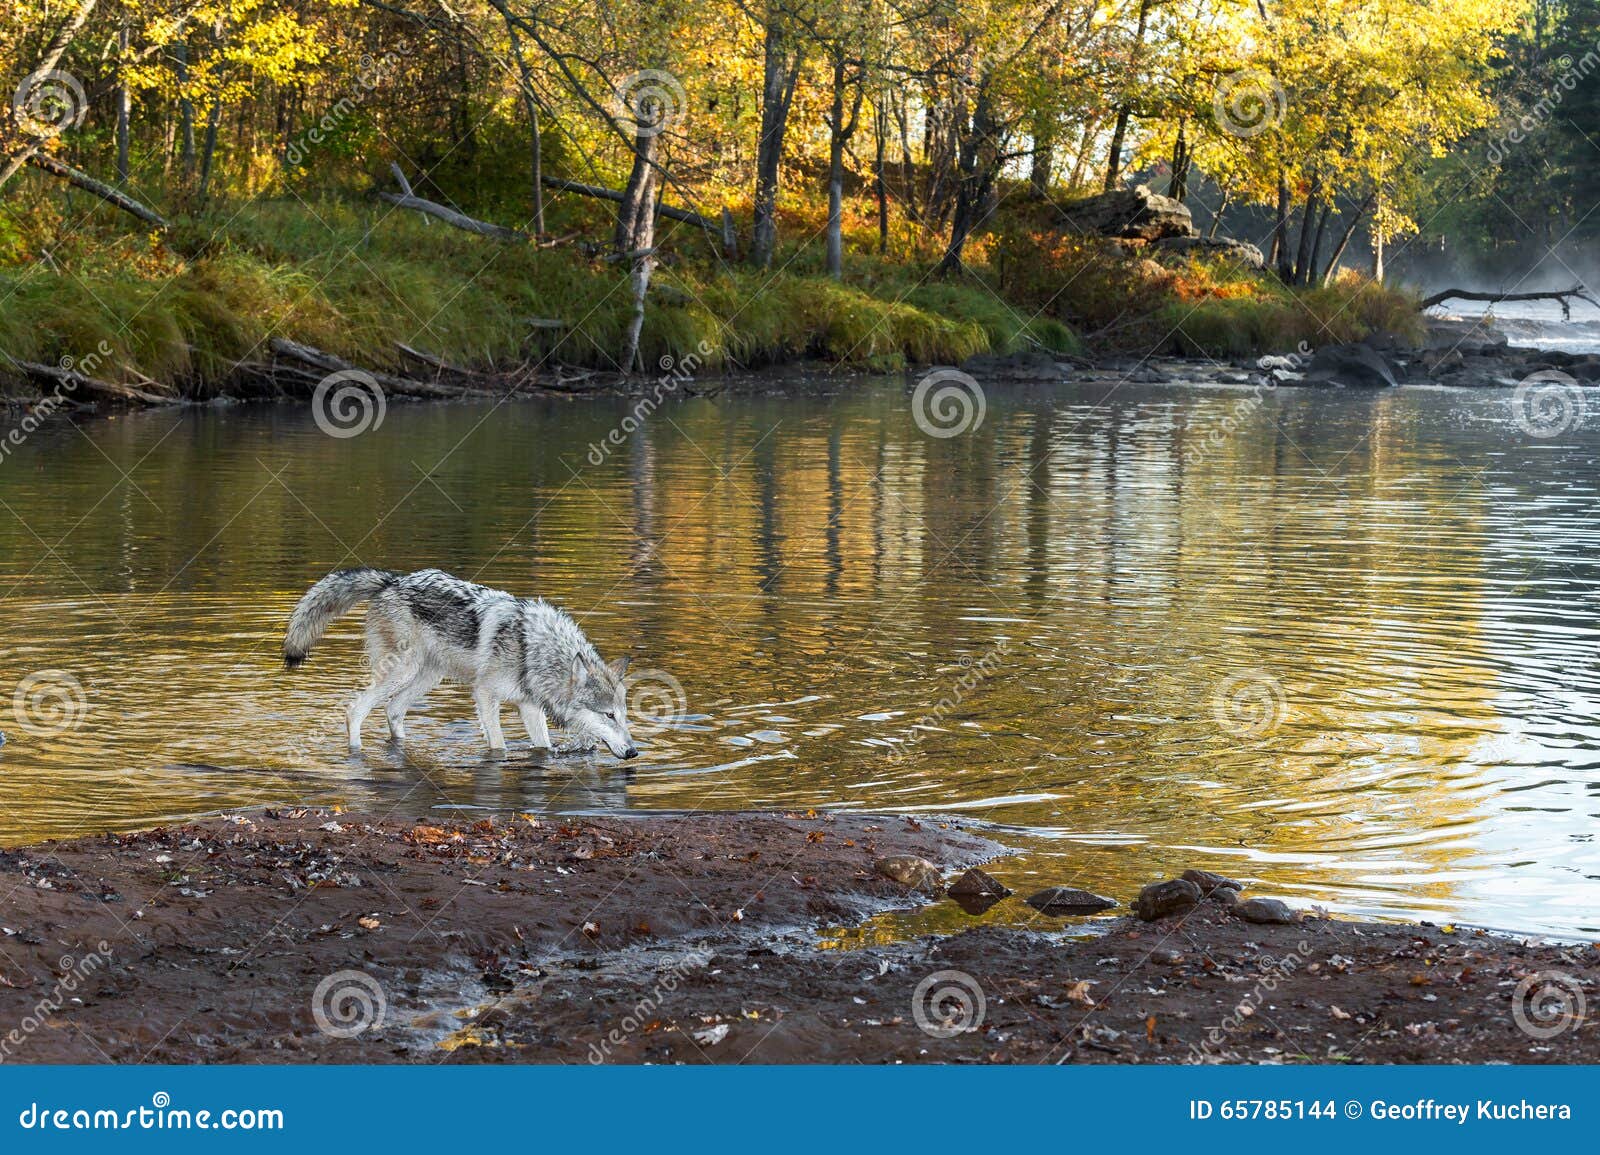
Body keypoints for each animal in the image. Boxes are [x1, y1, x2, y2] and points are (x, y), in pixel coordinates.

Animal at [282, 567, 638, 757]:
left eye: (623, 715)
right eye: (608, 715)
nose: (634, 752)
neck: (532, 649)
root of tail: (391, 581)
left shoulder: (529, 706)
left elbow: (543, 745)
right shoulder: (485, 694)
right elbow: (499, 745)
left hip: (429, 677)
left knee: (393, 710)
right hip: (402, 672)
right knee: (354, 709)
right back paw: (356, 752)